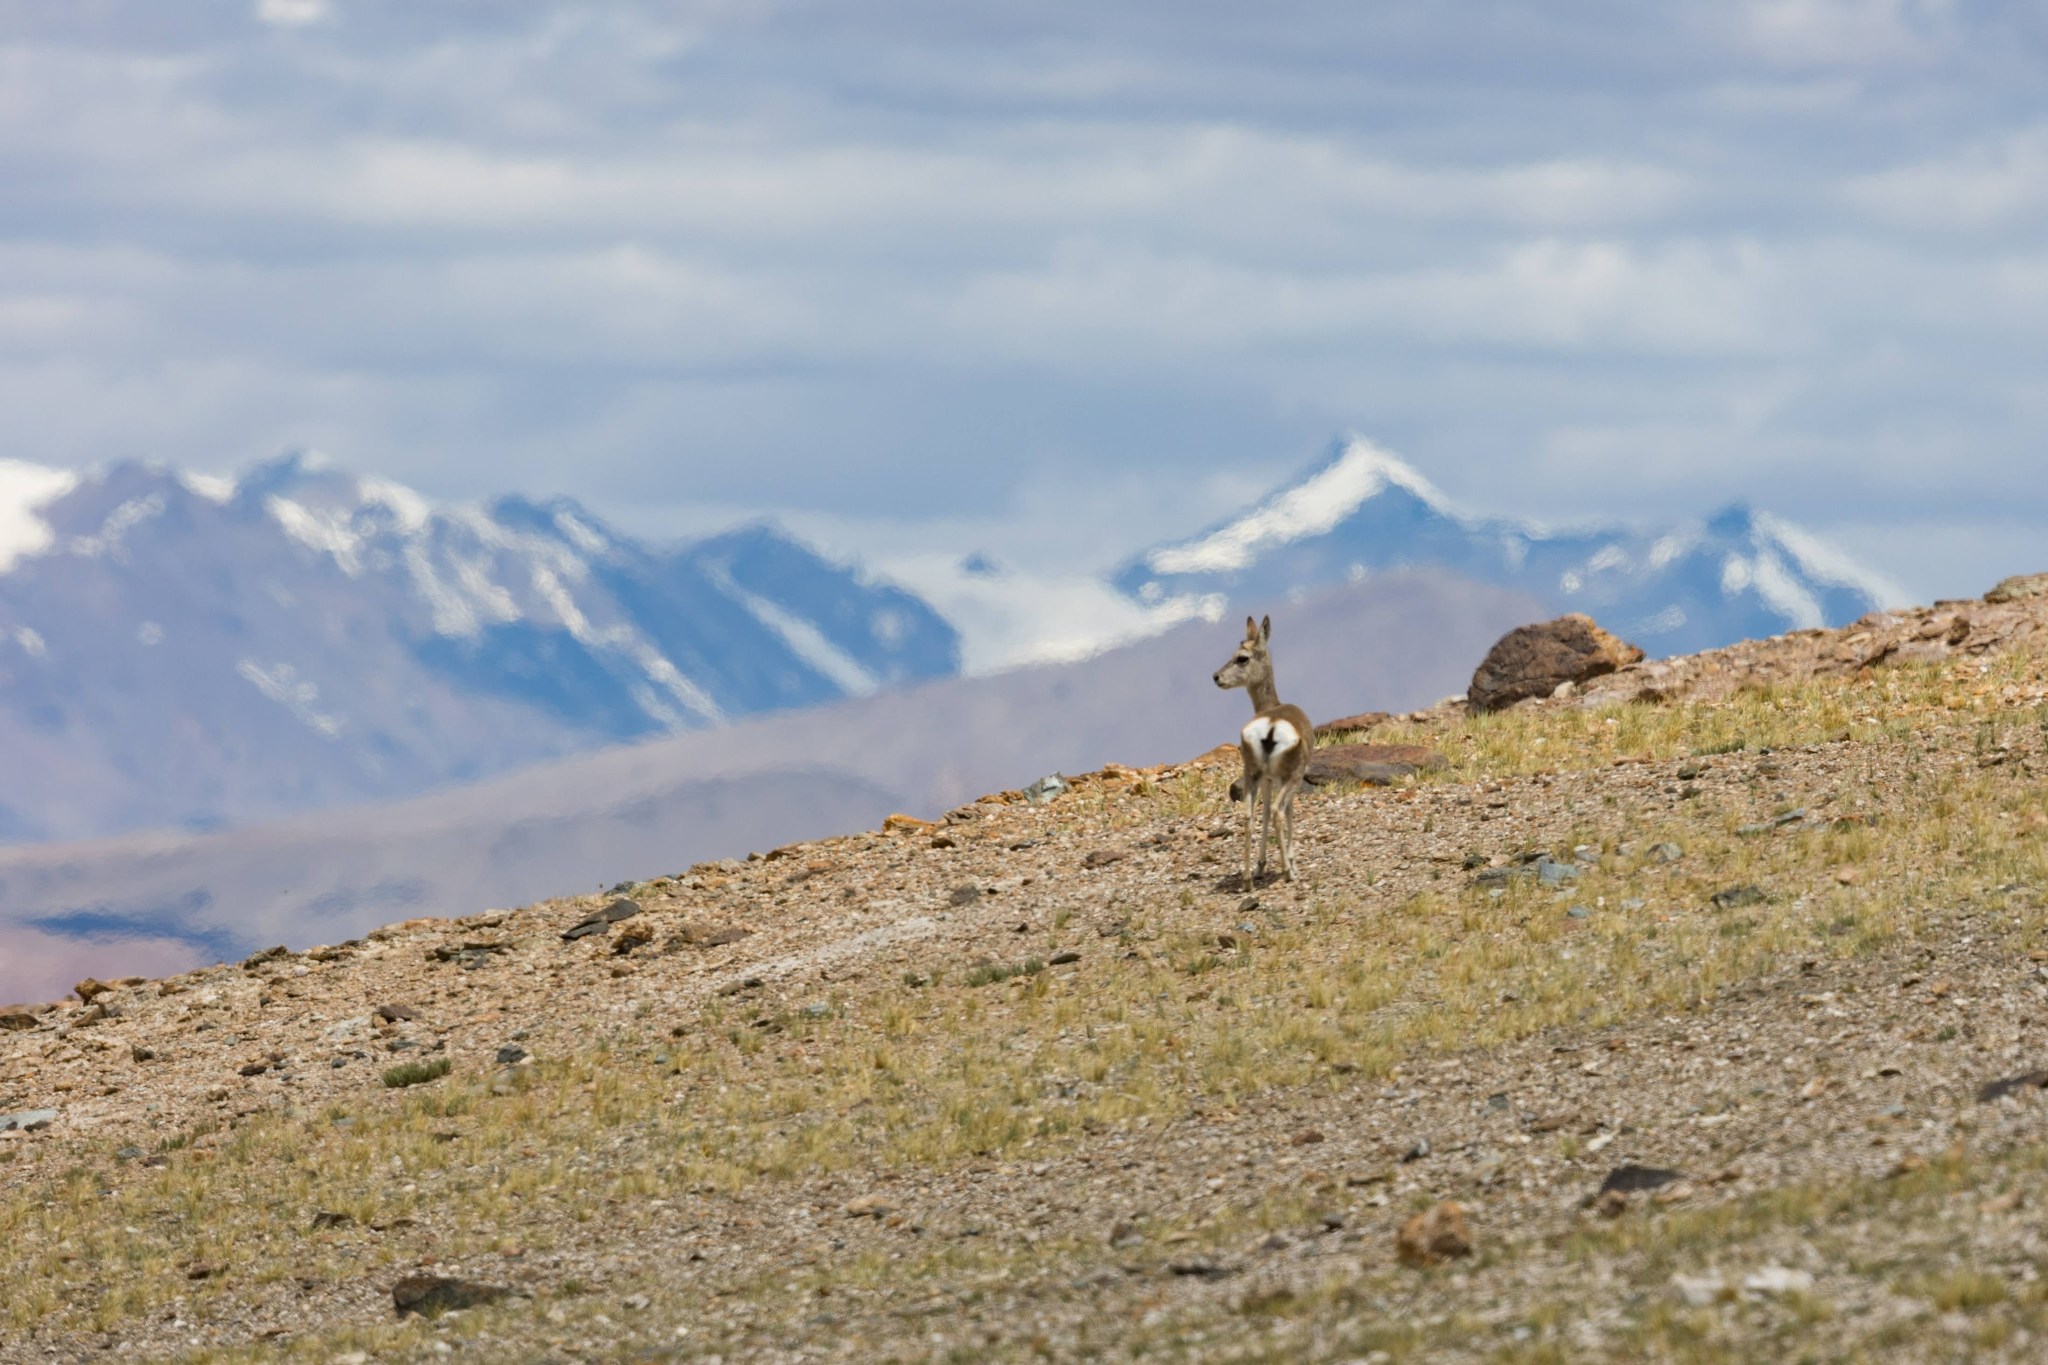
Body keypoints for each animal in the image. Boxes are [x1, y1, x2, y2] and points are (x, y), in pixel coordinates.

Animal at [1213, 615, 1313, 887]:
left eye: (1241, 657)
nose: (1216, 677)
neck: (1271, 707)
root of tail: (1271, 725)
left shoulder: (1266, 779)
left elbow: (1263, 813)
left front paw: (1260, 866)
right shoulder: (1283, 780)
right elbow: (1286, 813)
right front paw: (1291, 863)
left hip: (1252, 776)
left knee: (1248, 816)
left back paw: (1248, 879)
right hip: (1291, 778)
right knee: (1279, 811)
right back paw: (1288, 872)